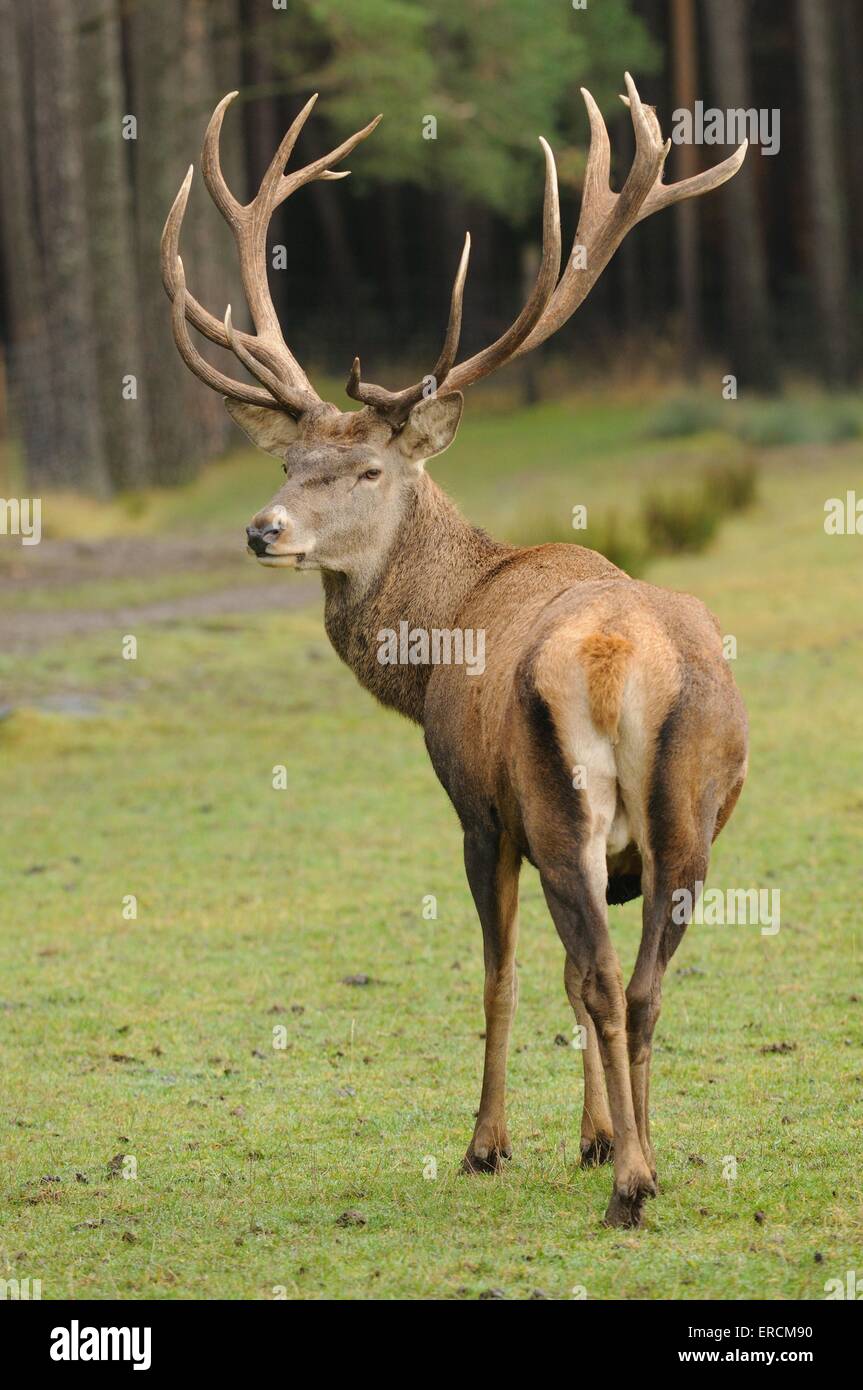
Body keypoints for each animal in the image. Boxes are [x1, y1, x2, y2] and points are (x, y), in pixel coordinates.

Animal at [161, 75, 749, 1228]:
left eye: (368, 472)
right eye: (290, 462)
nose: (262, 530)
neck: (434, 642)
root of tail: (628, 666)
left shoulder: (476, 806)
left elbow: (506, 972)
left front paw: (492, 1144)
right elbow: (571, 983)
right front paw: (595, 1133)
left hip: (557, 805)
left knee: (598, 976)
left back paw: (626, 1186)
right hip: (689, 820)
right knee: (641, 985)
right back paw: (643, 1163)